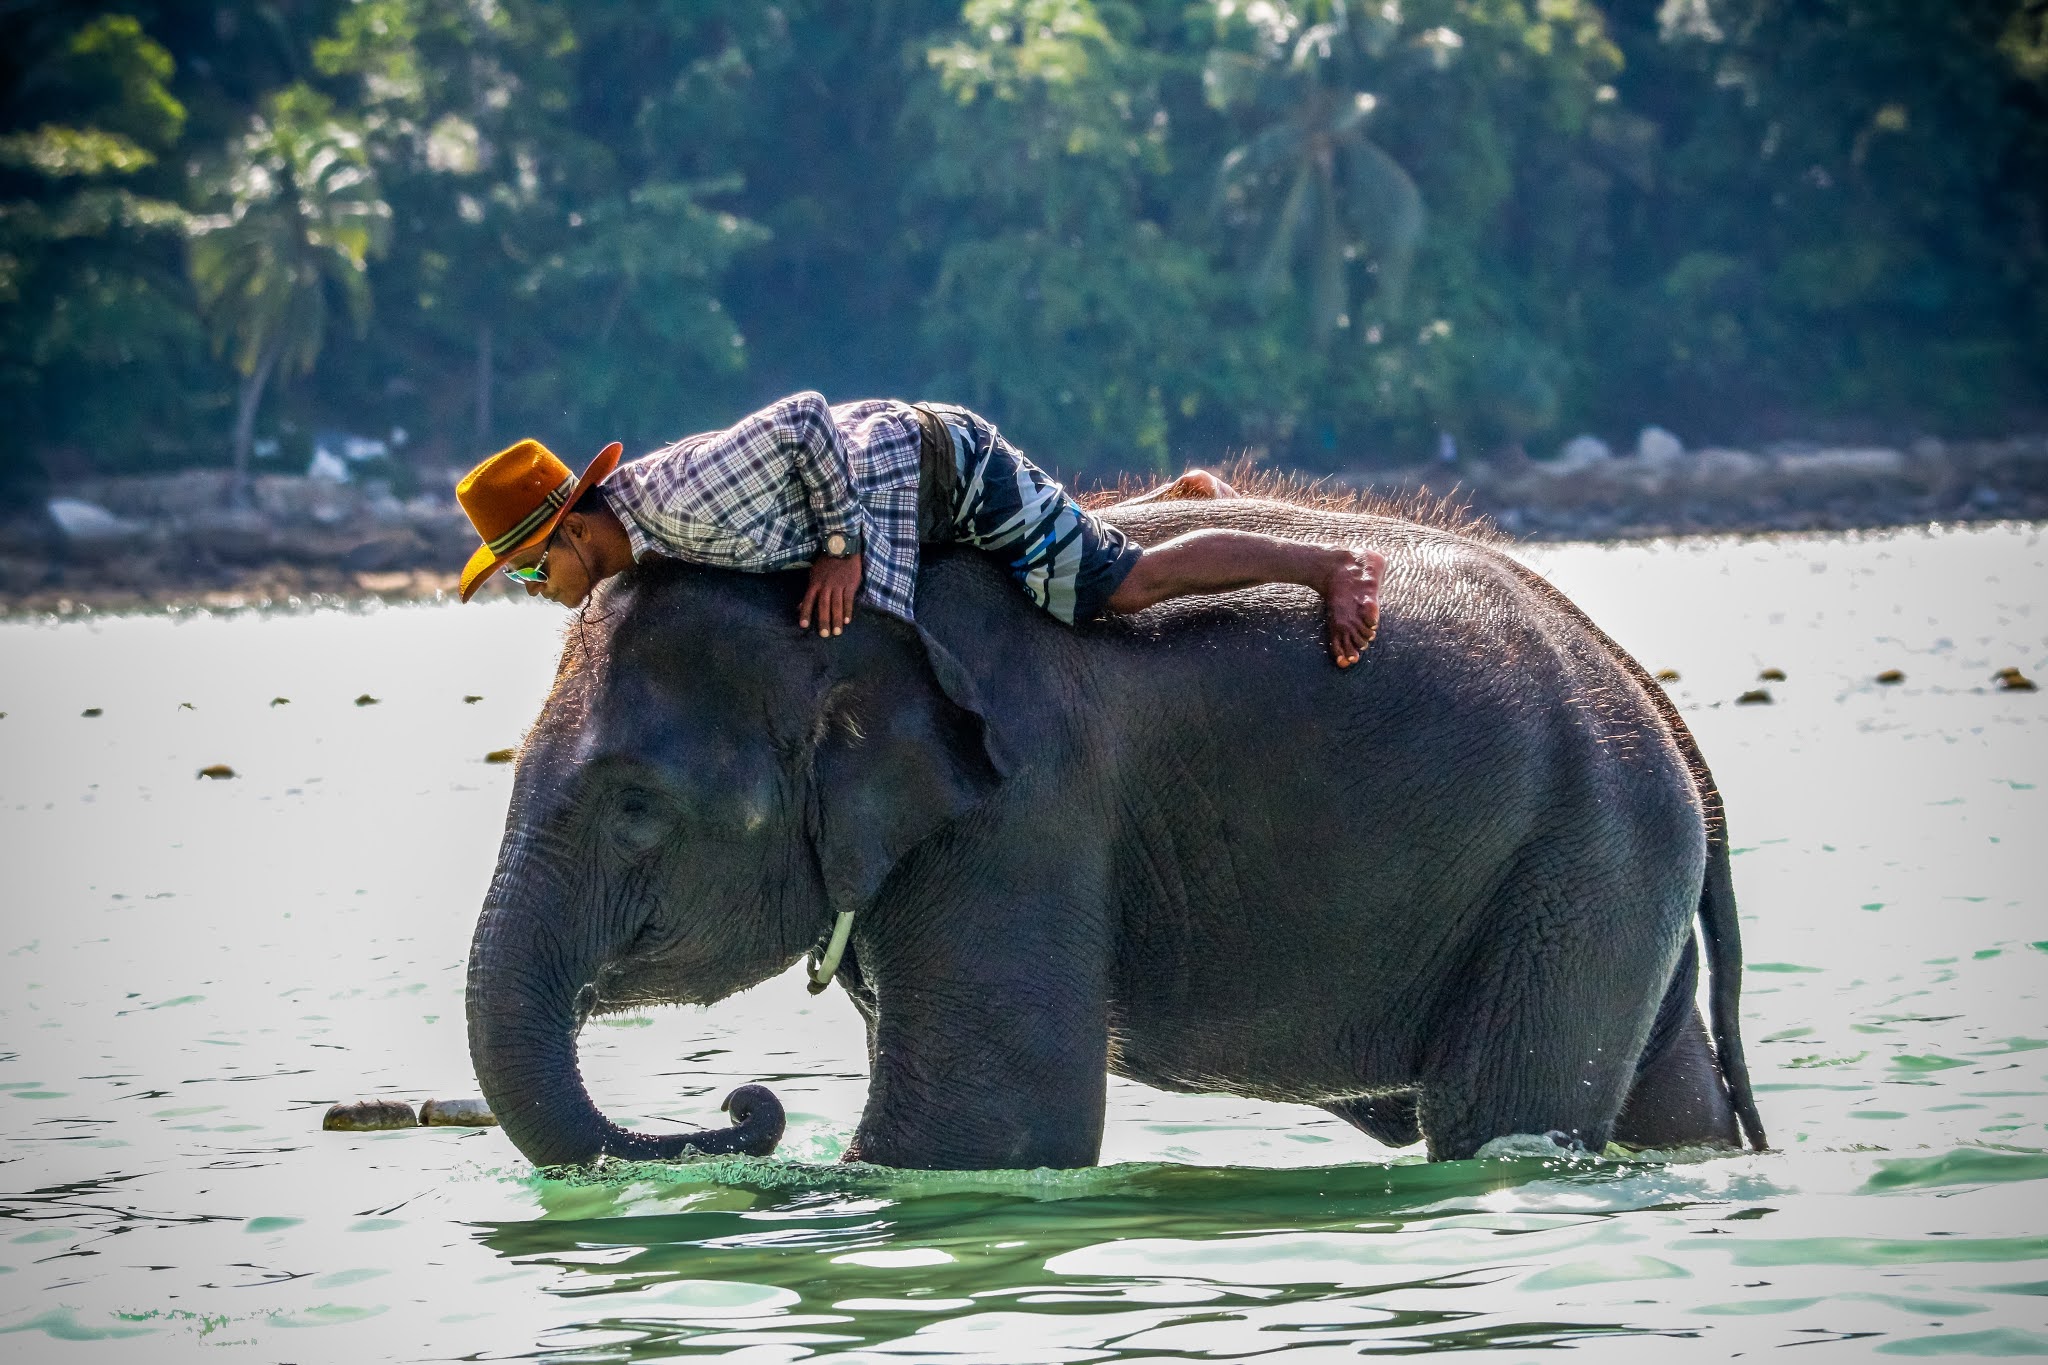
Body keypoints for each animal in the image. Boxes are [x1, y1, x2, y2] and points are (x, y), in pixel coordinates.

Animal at [466, 494, 1767, 1170]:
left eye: (635, 808)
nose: (746, 1109)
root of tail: (1656, 707)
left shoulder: (1021, 814)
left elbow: (985, 1132)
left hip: (1580, 861)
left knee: (1499, 1118)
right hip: (1604, 872)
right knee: (1658, 1098)